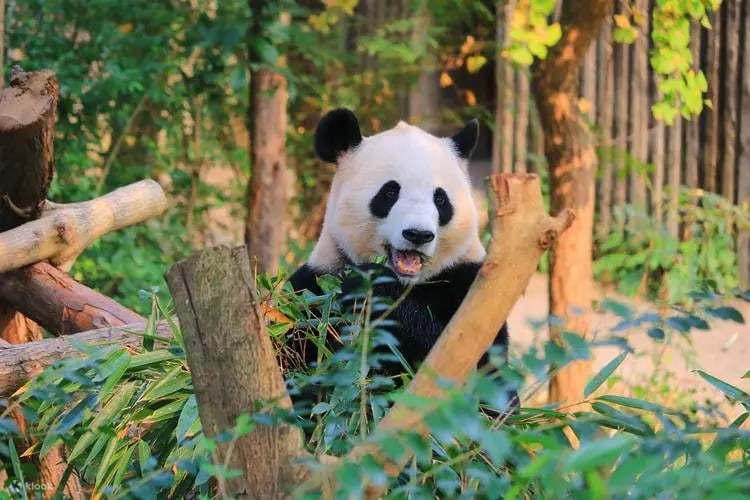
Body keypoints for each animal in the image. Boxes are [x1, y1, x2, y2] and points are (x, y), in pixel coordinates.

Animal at [288, 108, 510, 386]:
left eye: (440, 199)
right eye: (390, 193)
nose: (418, 234)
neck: (407, 283)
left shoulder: (468, 282)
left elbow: (468, 362)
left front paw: (371, 287)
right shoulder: (314, 286)